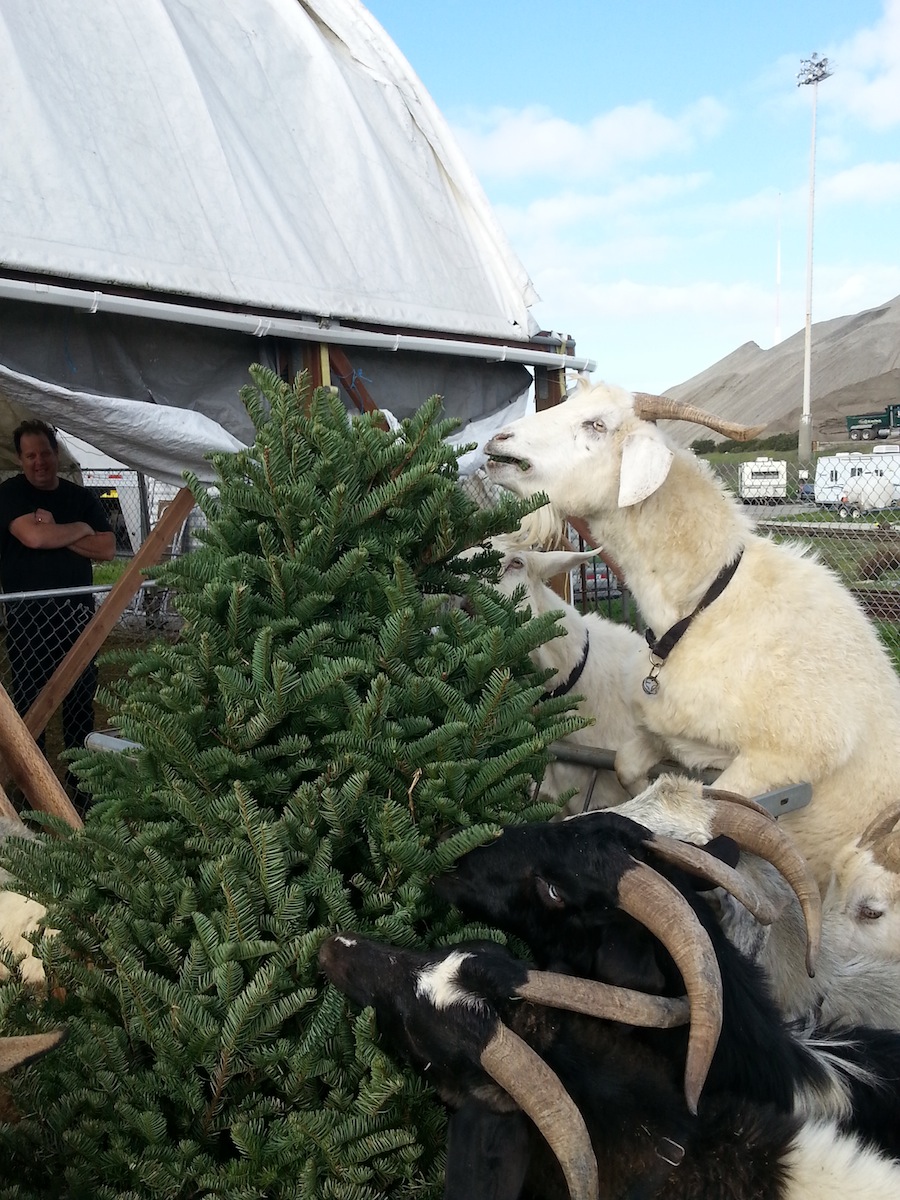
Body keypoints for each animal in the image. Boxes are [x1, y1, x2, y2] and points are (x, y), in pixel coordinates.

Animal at [484, 380, 900, 886]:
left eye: (597, 424)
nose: (497, 441)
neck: (707, 603)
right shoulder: (669, 732)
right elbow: (625, 767)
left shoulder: (783, 761)